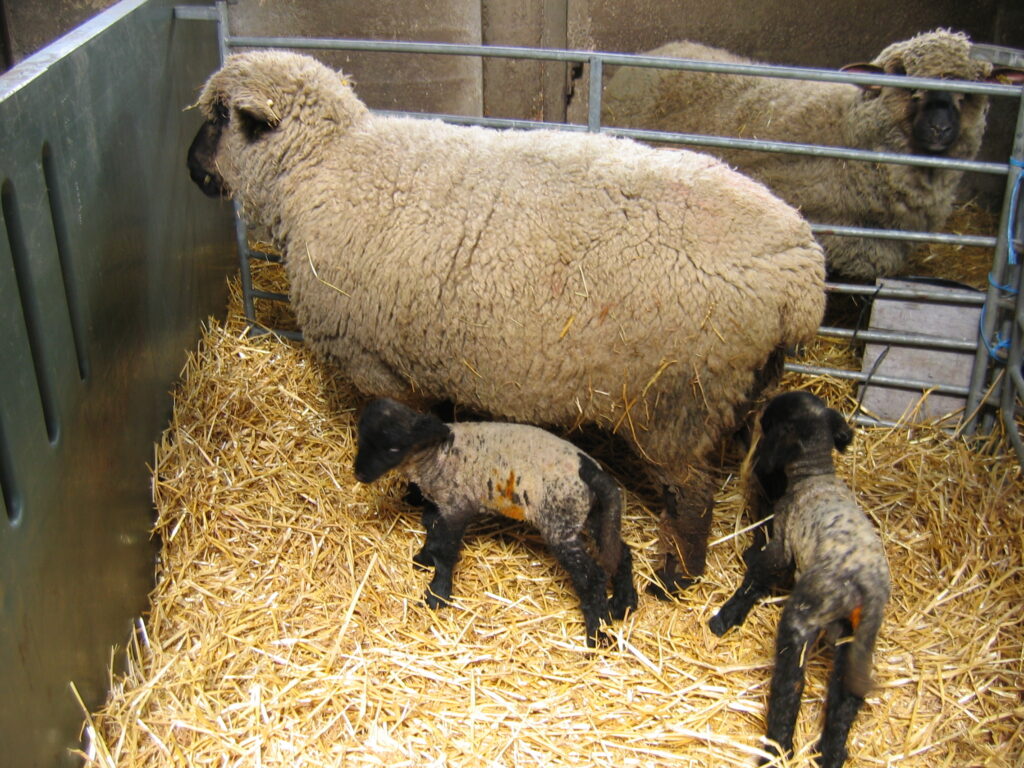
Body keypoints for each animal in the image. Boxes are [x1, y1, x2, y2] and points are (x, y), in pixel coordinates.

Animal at [186, 50, 827, 597]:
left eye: (220, 118)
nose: (191, 169)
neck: (321, 168)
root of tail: (801, 276)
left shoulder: (379, 364)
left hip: (675, 401)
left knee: (690, 497)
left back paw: (676, 576)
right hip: (731, 395)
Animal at [353, 397, 637, 646]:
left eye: (392, 448)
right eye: (361, 438)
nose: (359, 474)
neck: (435, 457)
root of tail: (589, 469)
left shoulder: (457, 507)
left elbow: (445, 552)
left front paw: (438, 595)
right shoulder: (439, 505)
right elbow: (431, 533)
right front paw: (424, 560)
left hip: (560, 524)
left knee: (592, 576)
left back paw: (597, 634)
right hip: (593, 514)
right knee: (620, 552)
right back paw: (623, 603)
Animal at [709, 391, 890, 768]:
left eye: (767, 423)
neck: (814, 473)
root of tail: (865, 583)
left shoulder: (782, 543)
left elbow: (757, 574)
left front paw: (727, 615)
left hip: (804, 616)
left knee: (790, 684)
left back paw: (776, 748)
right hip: (858, 638)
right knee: (846, 695)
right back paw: (830, 753)